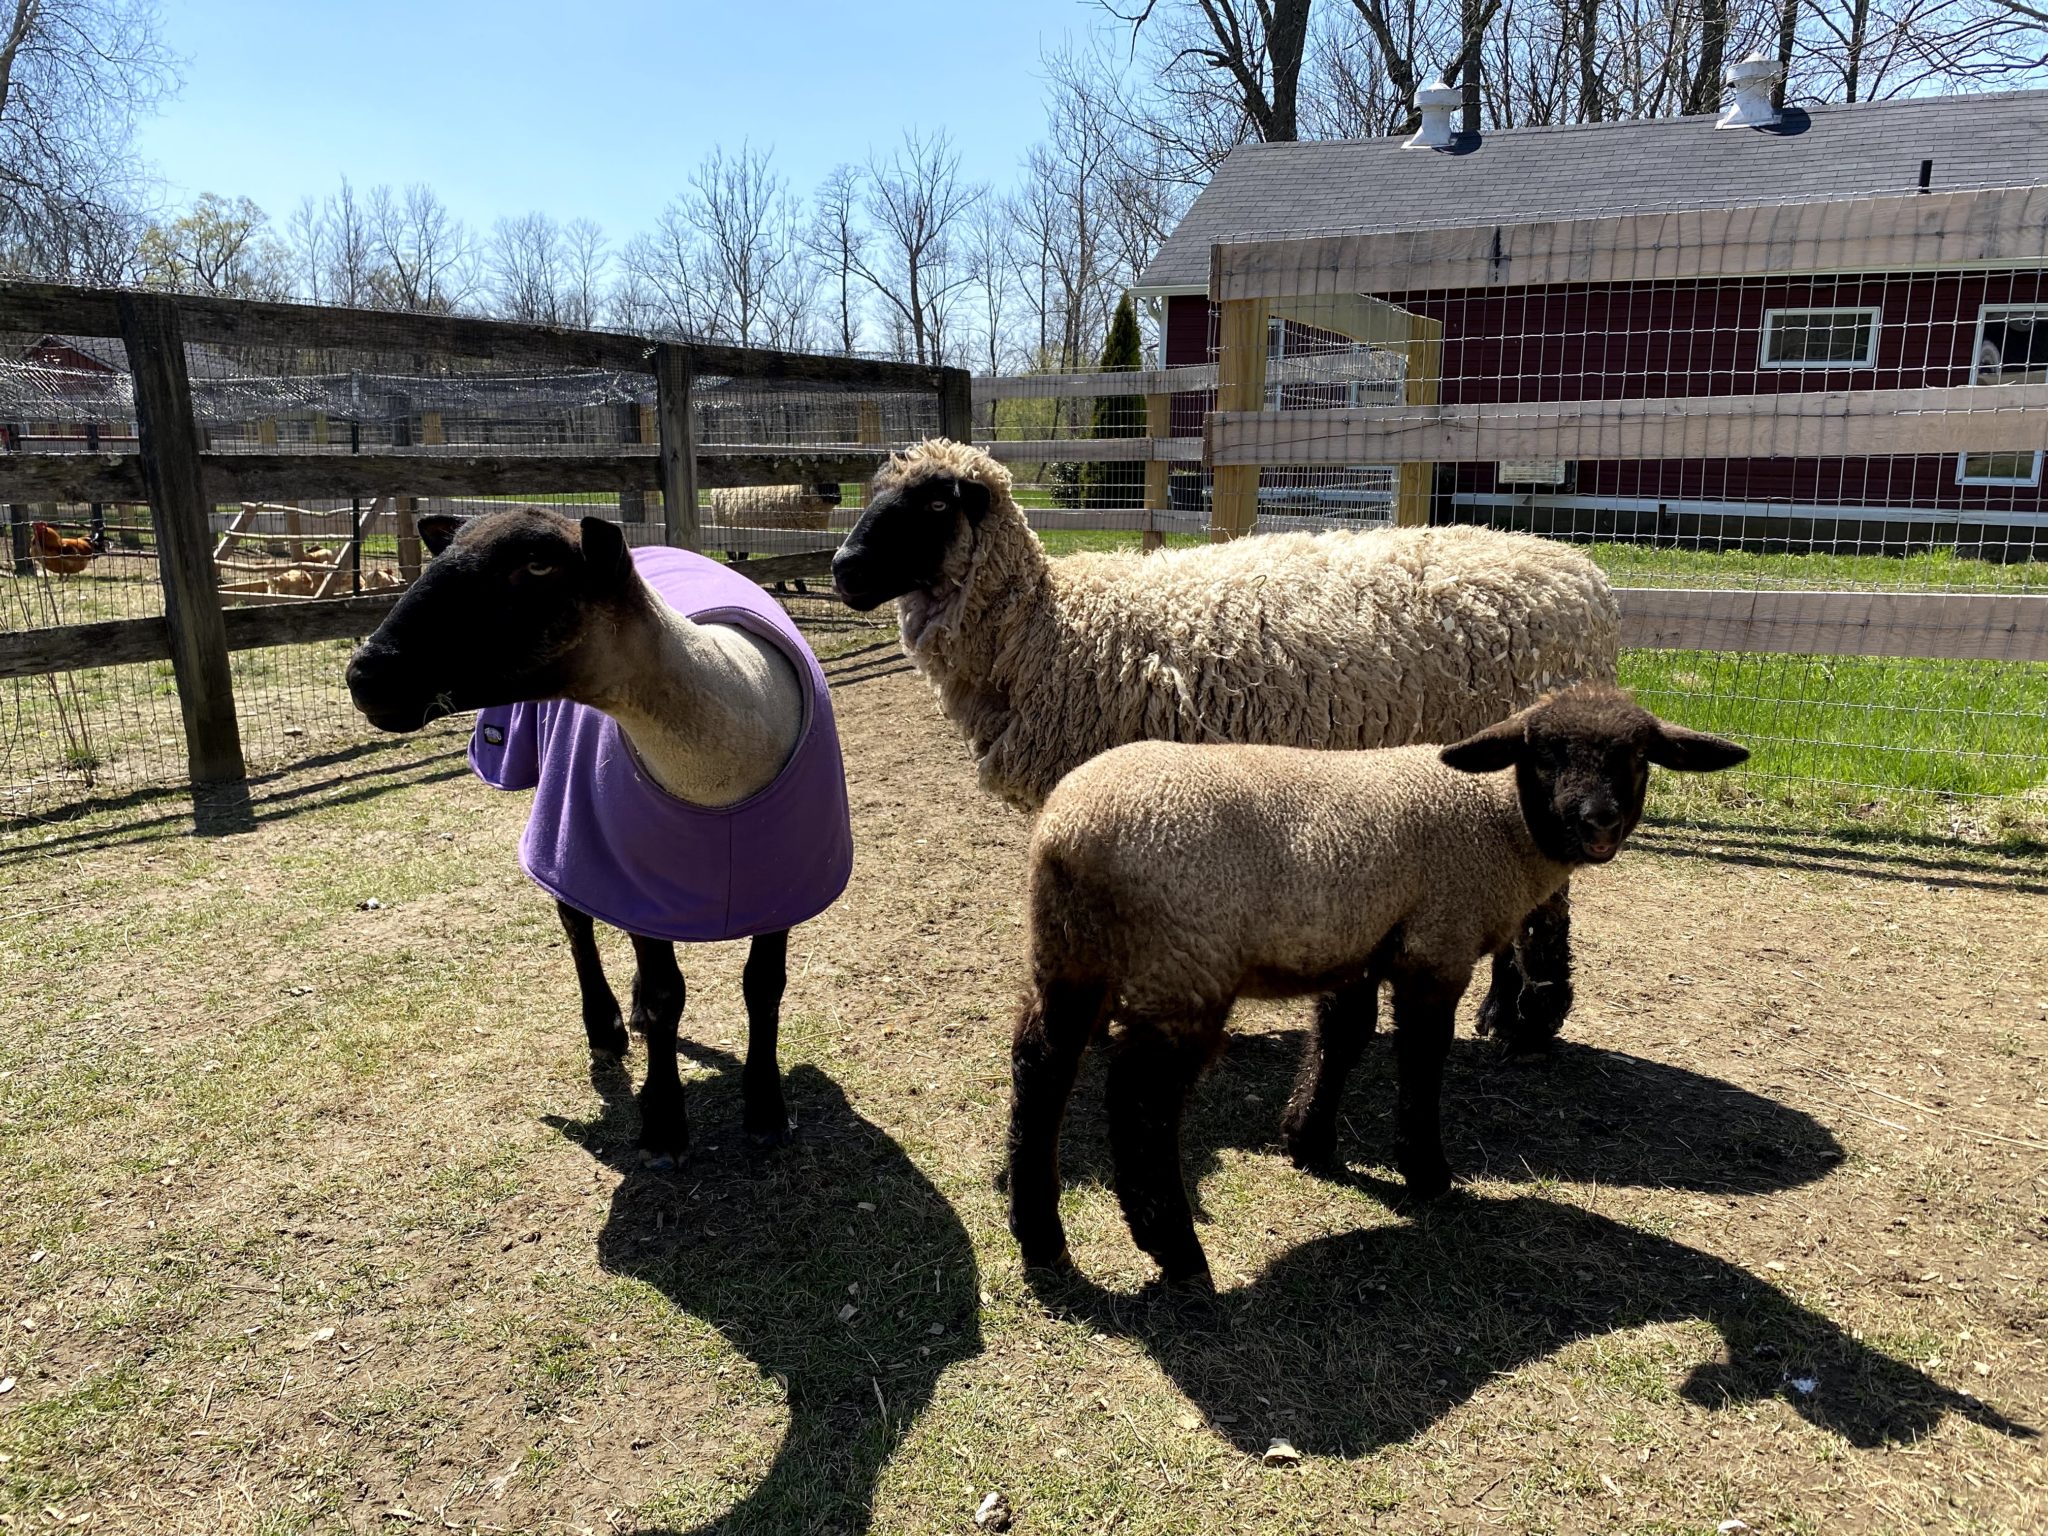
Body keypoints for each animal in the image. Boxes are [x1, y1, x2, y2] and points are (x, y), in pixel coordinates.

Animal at [831, 437, 1622, 1051]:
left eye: (937, 504)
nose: (842, 568)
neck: (1046, 628)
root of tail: (1583, 578)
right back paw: (1505, 1013)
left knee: (1549, 898)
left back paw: (1525, 1021)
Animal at [1007, 683, 1748, 1287]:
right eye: (1543, 754)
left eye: (1638, 756)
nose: (1599, 821)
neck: (1499, 818)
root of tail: (1069, 834)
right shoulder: (1435, 944)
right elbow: (1421, 1058)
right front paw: (1426, 1172)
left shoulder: (1359, 945)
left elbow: (1341, 1037)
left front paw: (1308, 1142)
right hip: (1184, 962)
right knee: (1142, 1103)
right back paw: (1176, 1251)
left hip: (1069, 956)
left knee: (1040, 1068)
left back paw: (1040, 1238)